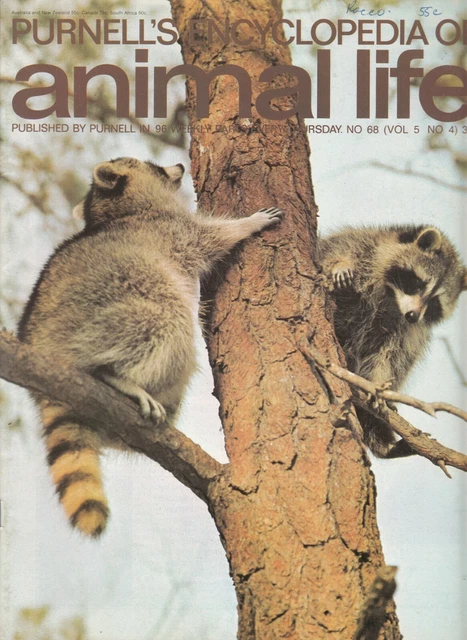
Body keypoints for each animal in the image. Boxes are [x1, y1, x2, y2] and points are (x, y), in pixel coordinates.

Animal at [18, 157, 283, 537]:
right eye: (152, 164)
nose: (180, 164)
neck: (119, 210)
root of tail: (42, 345)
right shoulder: (174, 230)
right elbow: (212, 237)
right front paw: (248, 223)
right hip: (104, 312)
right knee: (166, 319)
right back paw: (114, 375)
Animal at [320, 225, 467, 458]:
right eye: (417, 284)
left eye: (434, 303)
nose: (414, 315)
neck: (391, 297)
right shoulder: (363, 246)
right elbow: (332, 251)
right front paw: (339, 263)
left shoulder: (404, 330)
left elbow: (388, 355)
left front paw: (377, 385)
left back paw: (384, 444)